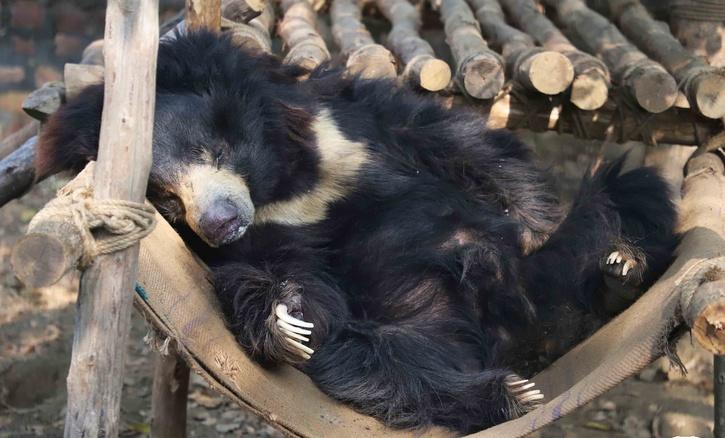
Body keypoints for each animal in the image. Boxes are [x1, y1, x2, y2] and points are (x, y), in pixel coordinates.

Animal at [36, 31, 678, 433]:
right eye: (167, 199)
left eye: (208, 150)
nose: (218, 224)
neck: (280, 183)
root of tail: (518, 342)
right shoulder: (268, 236)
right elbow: (287, 283)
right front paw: (285, 320)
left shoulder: (344, 121)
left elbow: (454, 140)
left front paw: (531, 222)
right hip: (410, 339)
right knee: (368, 363)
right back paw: (509, 394)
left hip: (554, 271)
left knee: (627, 197)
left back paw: (619, 268)